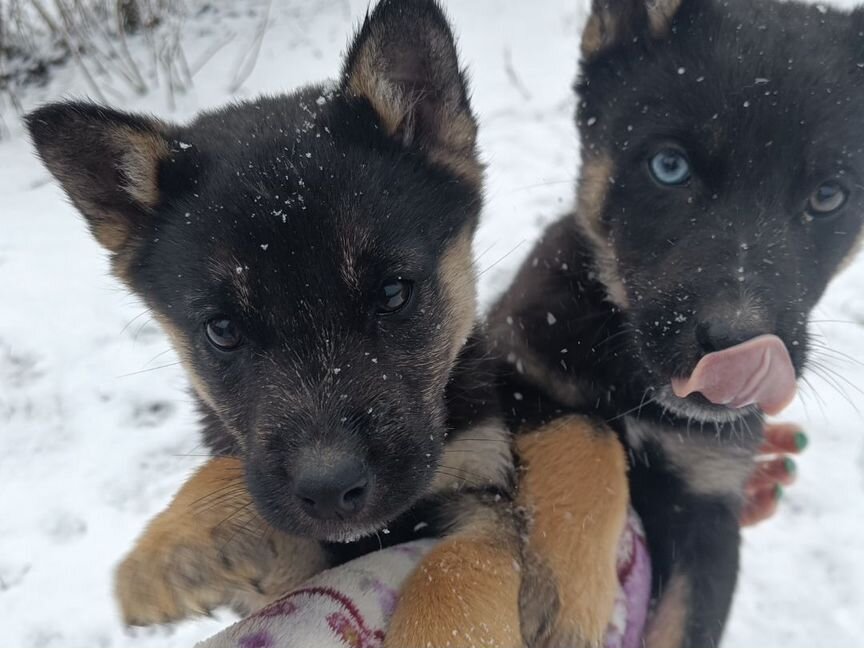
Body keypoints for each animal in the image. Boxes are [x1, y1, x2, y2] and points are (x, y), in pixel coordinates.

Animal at [490, 1, 864, 648]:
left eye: (828, 196)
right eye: (669, 166)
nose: (739, 353)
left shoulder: (710, 504)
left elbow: (687, 623)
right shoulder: (501, 363)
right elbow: (588, 430)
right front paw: (572, 600)